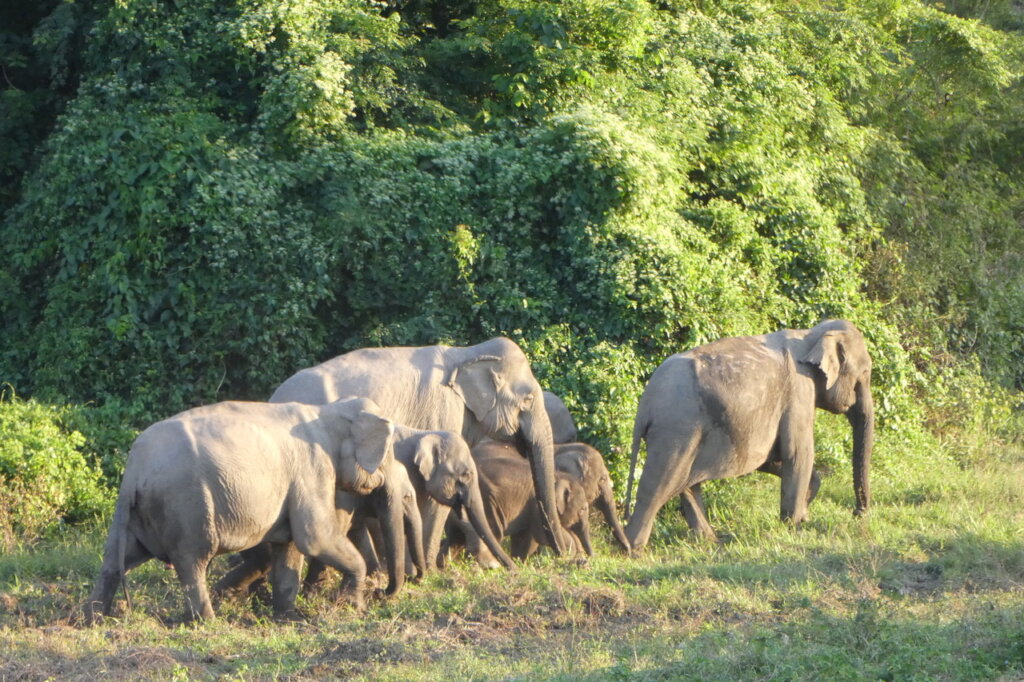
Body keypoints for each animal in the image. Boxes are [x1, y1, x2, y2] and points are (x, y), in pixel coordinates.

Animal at [85, 398, 395, 623]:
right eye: (388, 453)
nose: (381, 593)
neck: (328, 412)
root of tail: (135, 469)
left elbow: (289, 546)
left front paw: (289, 618)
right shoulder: (312, 469)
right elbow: (314, 538)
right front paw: (354, 608)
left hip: (137, 514)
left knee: (116, 560)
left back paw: (95, 618)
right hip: (186, 504)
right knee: (192, 560)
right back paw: (207, 622)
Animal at [268, 337, 570, 564]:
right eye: (528, 399)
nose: (566, 555)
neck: (465, 354)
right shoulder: (443, 412)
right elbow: (435, 498)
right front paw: (429, 572)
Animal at [624, 319, 874, 550]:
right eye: (866, 373)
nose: (858, 513)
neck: (810, 335)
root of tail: (645, 404)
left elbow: (771, 458)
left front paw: (802, 516)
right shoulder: (799, 390)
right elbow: (798, 455)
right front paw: (794, 527)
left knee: (684, 480)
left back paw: (710, 540)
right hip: (677, 427)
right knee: (659, 483)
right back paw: (632, 548)